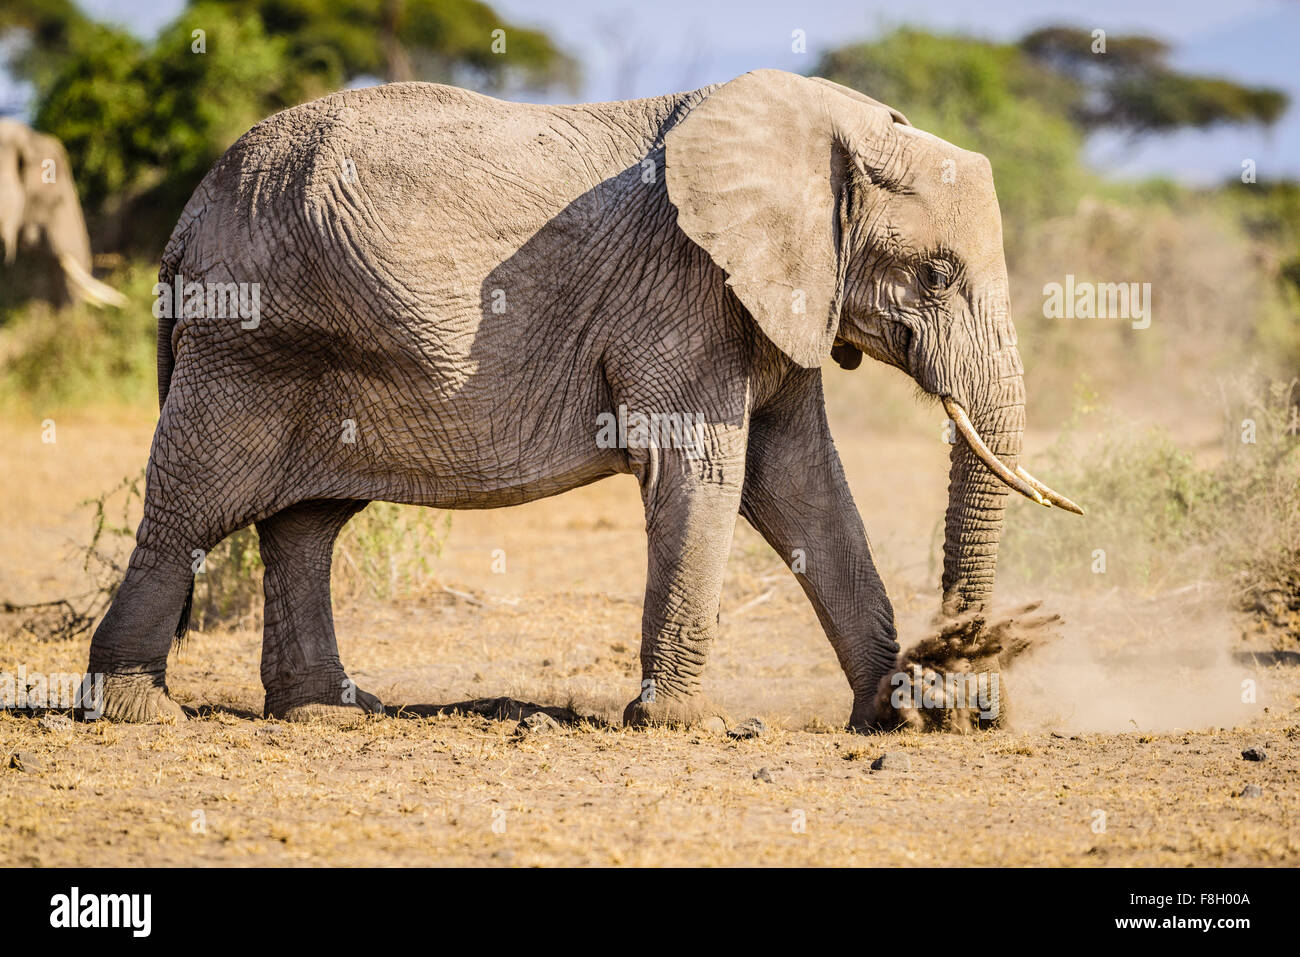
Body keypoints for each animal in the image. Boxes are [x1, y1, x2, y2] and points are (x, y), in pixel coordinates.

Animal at [83, 69, 1080, 727]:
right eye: (937, 274)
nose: (960, 688)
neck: (821, 124)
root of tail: (185, 224)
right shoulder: (685, 286)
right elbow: (707, 472)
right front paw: (691, 727)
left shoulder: (780, 291)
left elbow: (804, 485)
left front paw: (893, 714)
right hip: (247, 341)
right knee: (190, 510)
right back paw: (139, 712)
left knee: (304, 525)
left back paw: (330, 713)